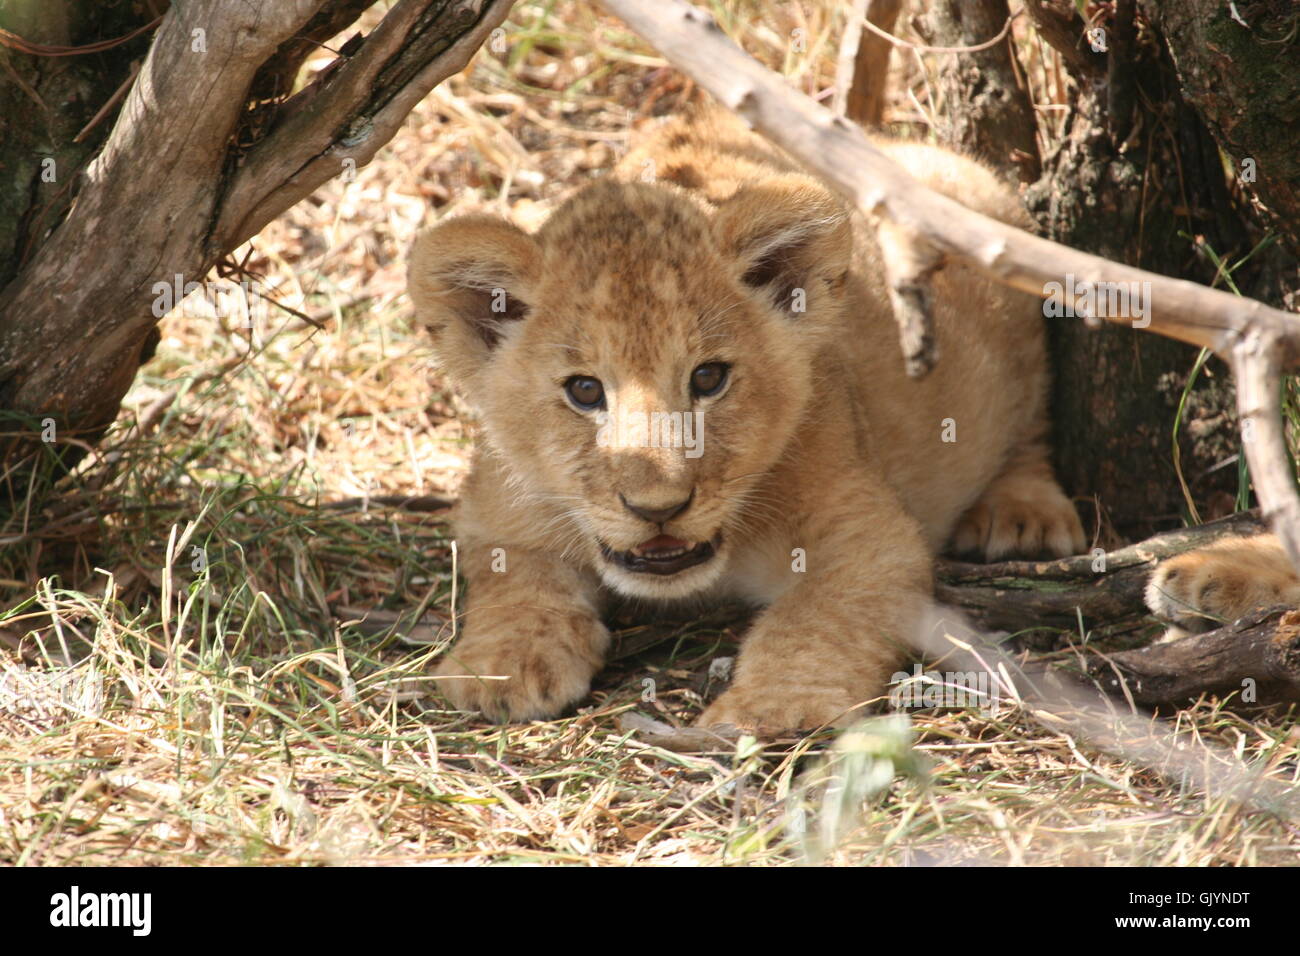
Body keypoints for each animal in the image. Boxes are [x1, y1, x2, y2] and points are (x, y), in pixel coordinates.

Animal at [406, 105, 1086, 733]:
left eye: (709, 379)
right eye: (584, 390)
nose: (659, 510)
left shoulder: (871, 533)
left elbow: (815, 618)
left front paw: (777, 708)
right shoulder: (497, 506)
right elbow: (519, 577)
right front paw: (505, 666)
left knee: (1033, 418)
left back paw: (1022, 515)